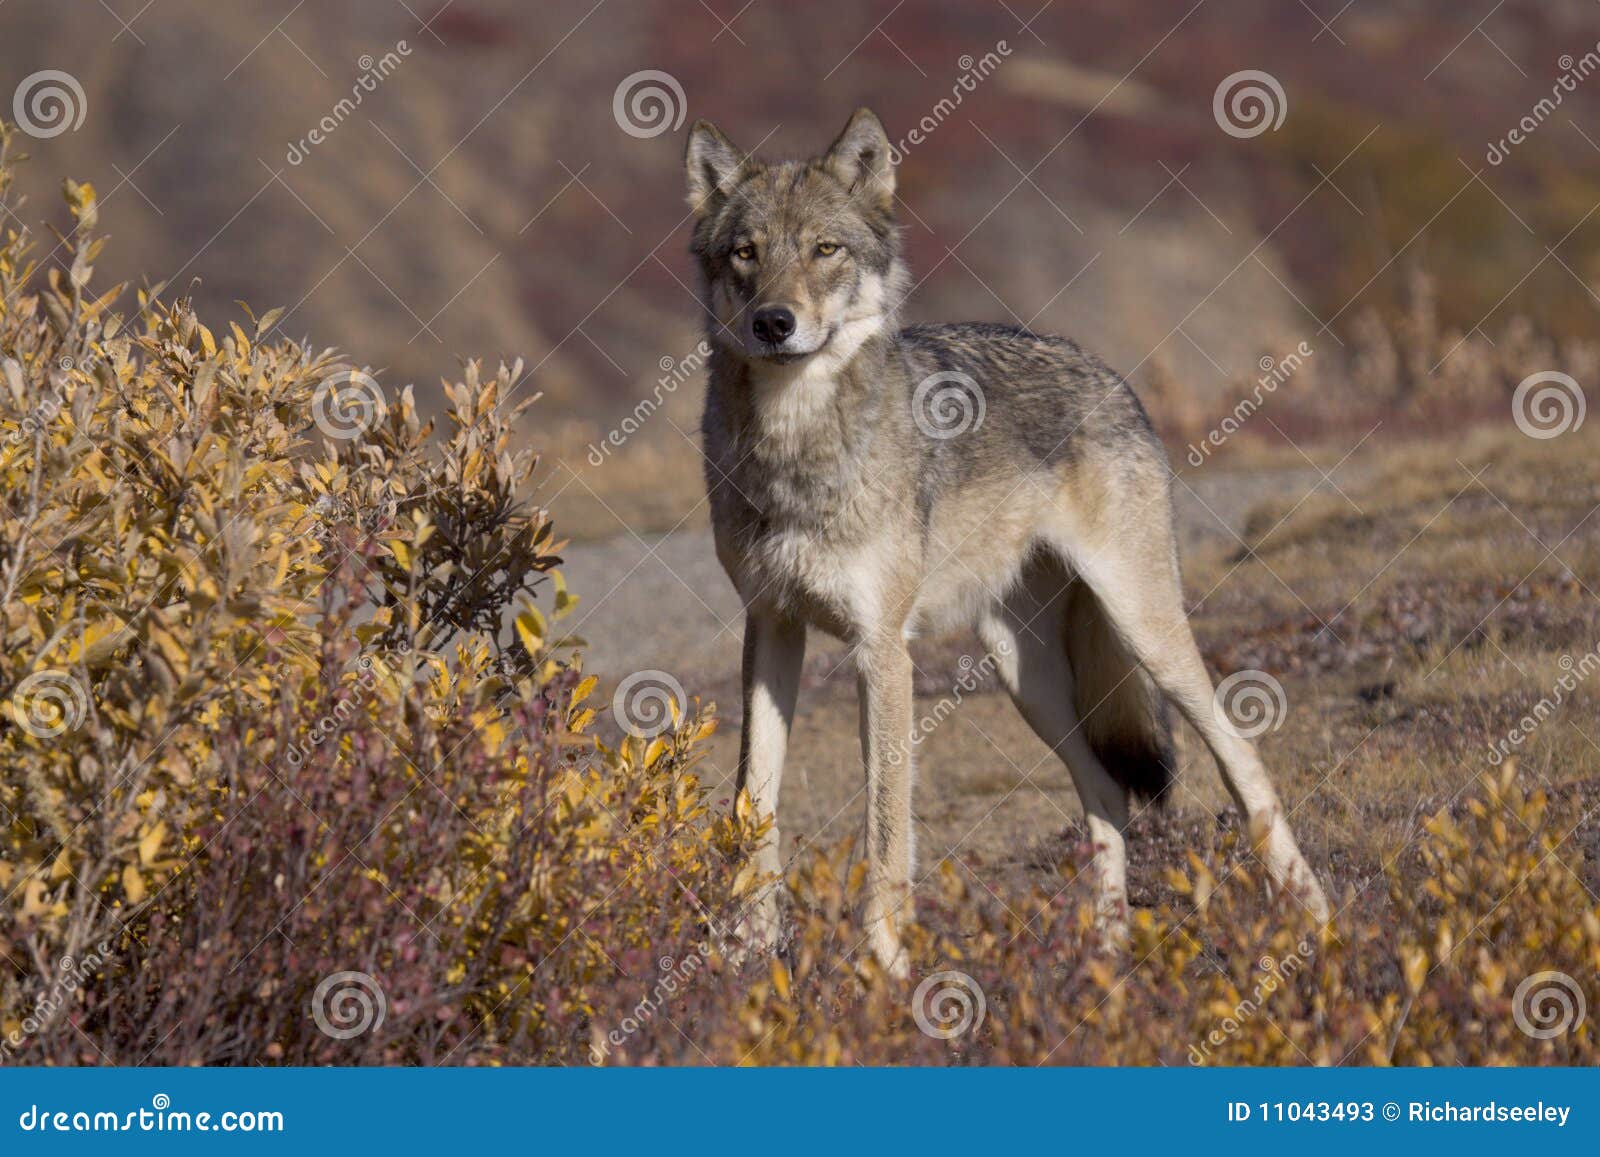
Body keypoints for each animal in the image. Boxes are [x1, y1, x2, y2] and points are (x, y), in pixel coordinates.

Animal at [686, 108, 1329, 976]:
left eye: (825, 249)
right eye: (745, 253)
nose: (774, 323)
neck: (795, 445)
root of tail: (1109, 373)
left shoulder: (881, 649)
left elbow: (885, 830)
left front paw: (886, 973)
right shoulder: (771, 625)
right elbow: (752, 803)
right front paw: (745, 962)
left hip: (1141, 630)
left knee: (1239, 754)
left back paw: (1313, 917)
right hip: (1024, 672)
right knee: (1107, 792)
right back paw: (1104, 956)